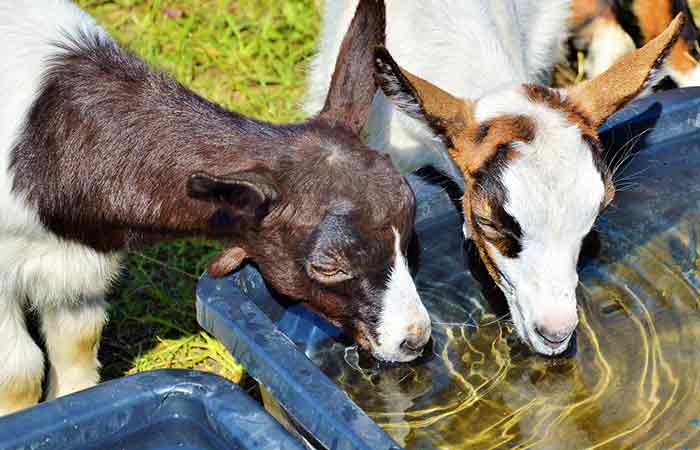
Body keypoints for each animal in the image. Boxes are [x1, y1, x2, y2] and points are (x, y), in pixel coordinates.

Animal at [0, 0, 430, 415]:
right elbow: (19, 372)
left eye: (410, 235)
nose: (415, 338)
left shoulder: (75, 264)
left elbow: (77, 341)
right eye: (328, 266)